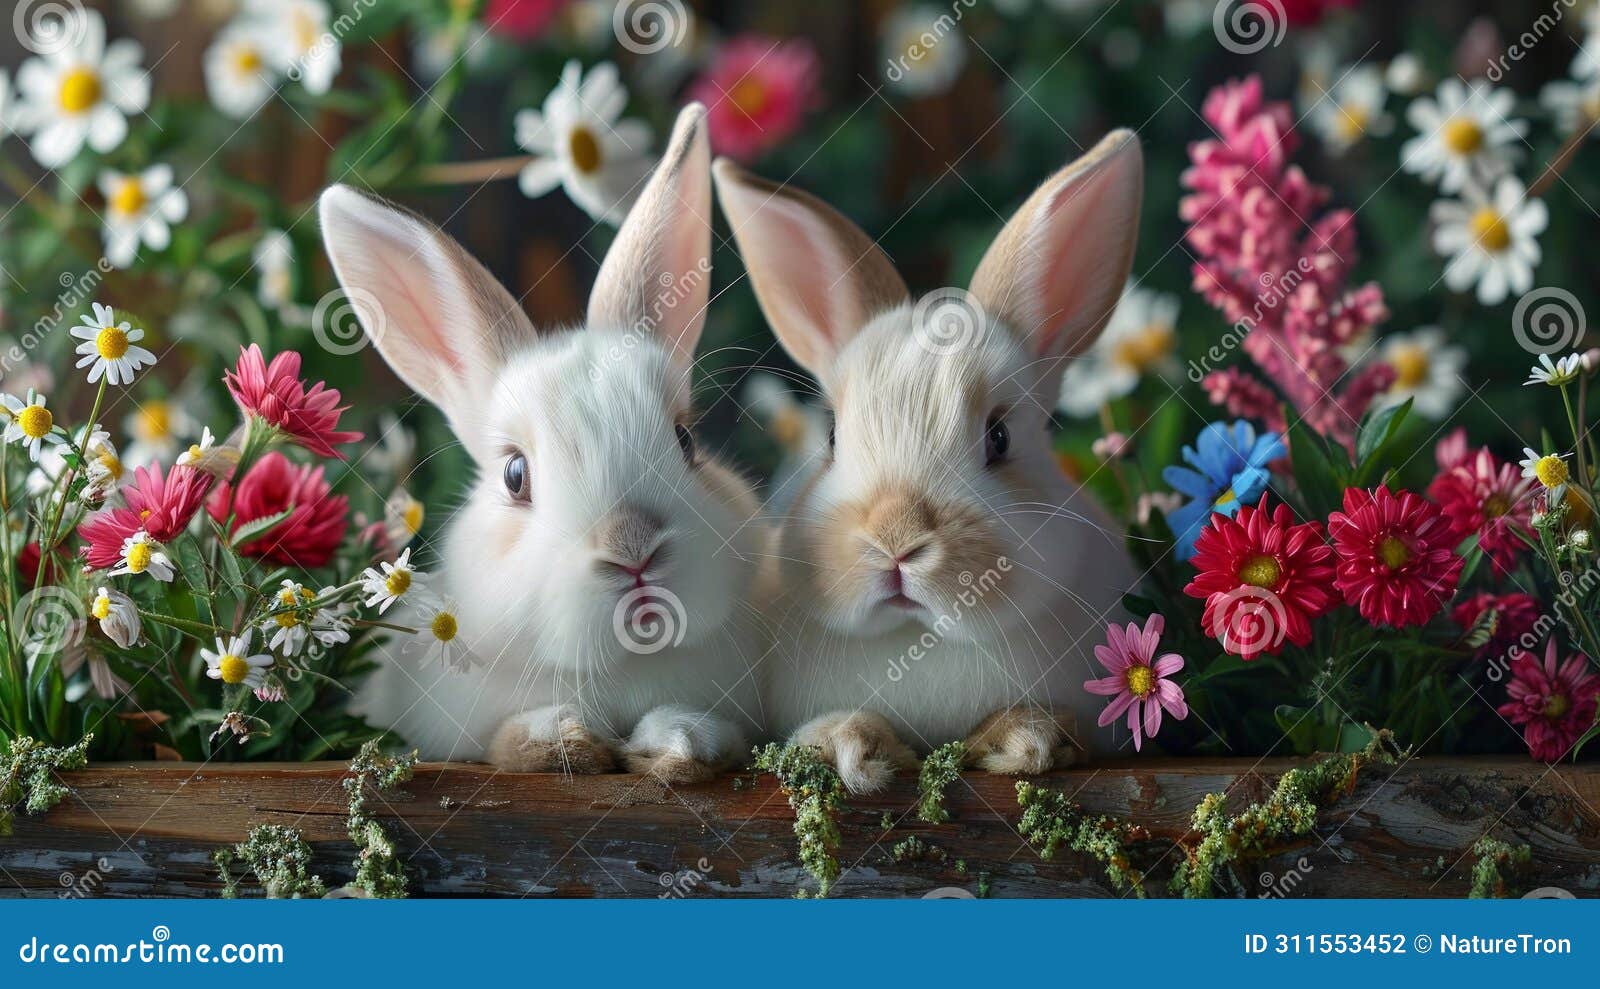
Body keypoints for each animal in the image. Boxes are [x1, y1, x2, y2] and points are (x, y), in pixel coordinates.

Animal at [319, 105, 767, 782]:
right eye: (515, 476)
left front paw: (681, 741)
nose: (632, 550)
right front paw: (563, 738)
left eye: (686, 440)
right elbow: (509, 741)